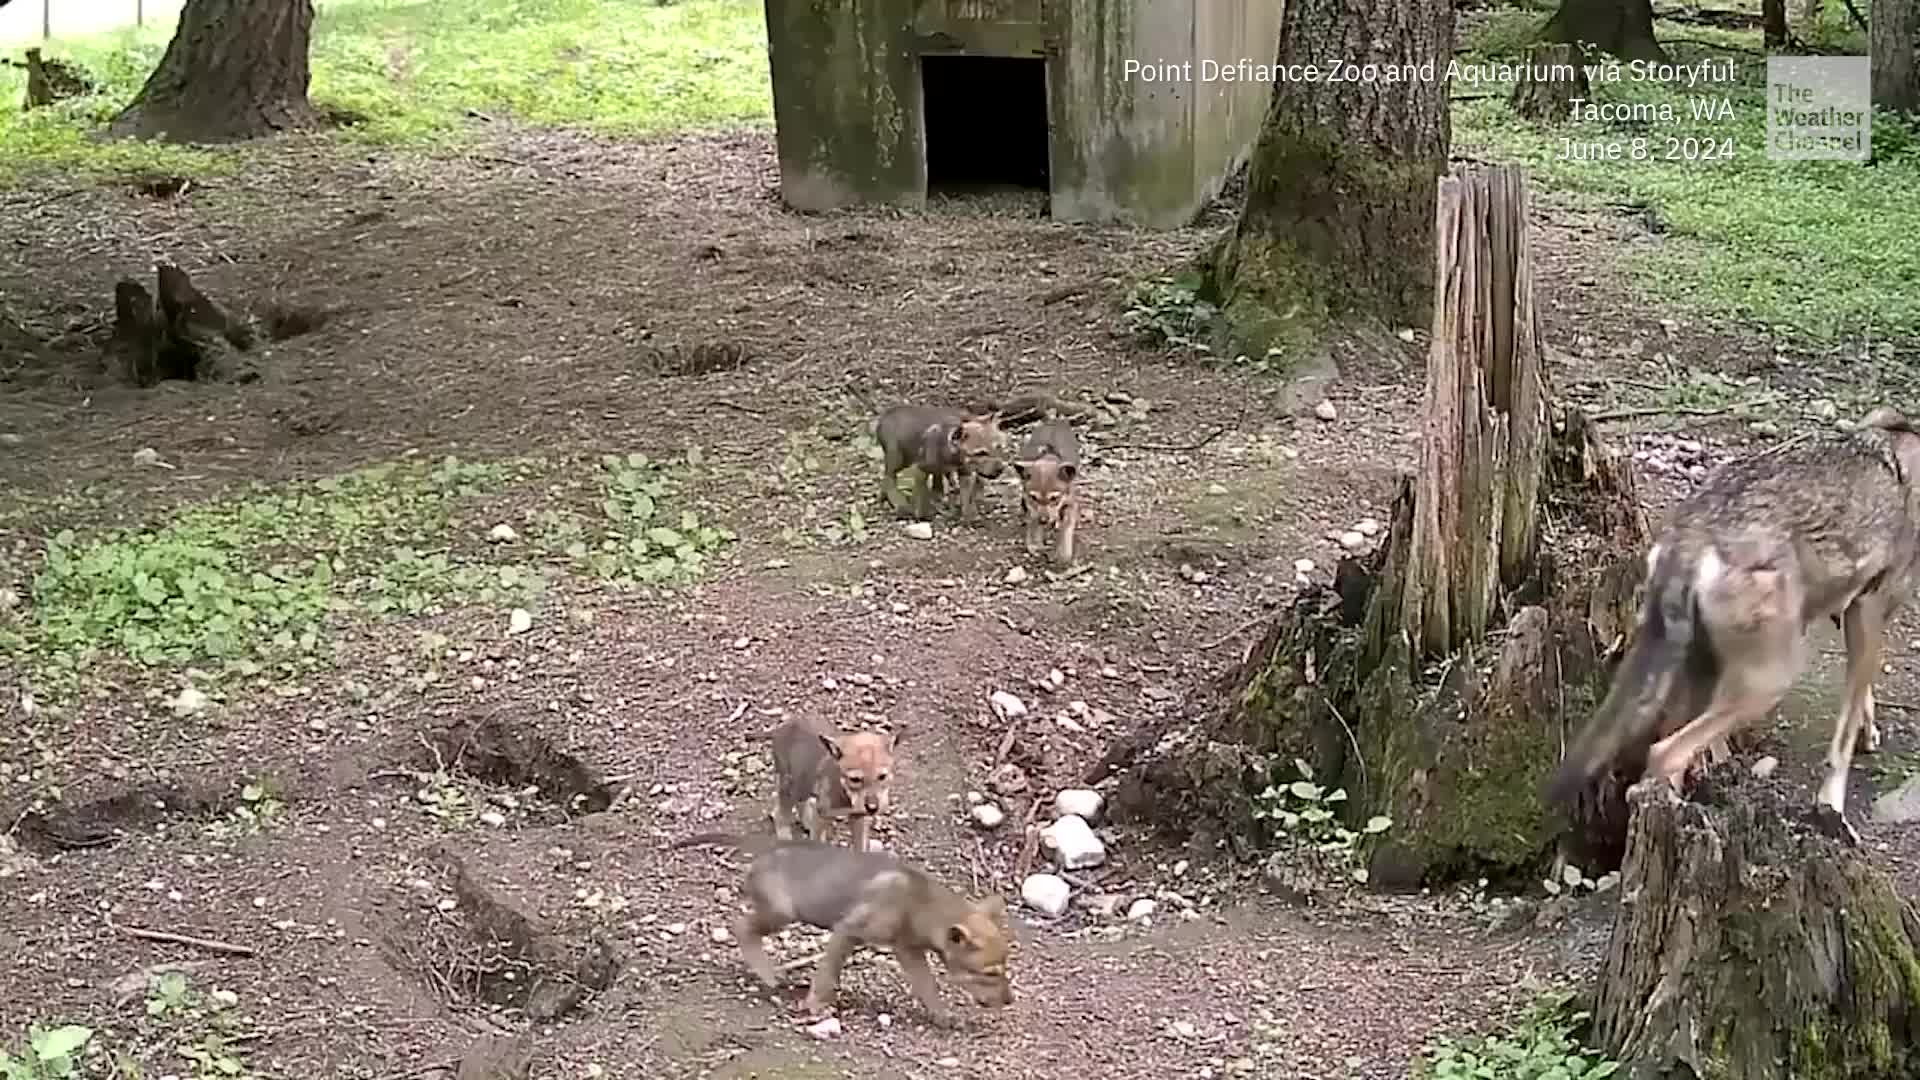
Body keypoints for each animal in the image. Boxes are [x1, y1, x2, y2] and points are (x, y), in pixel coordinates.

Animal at [1543, 407, 1920, 843]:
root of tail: (1692, 533)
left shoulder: (1851, 610)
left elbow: (1861, 696)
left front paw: (1867, 733)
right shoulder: (1870, 606)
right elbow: (1841, 739)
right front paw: (1832, 809)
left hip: (1704, 672)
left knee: (1664, 751)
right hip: (1770, 681)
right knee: (1664, 753)